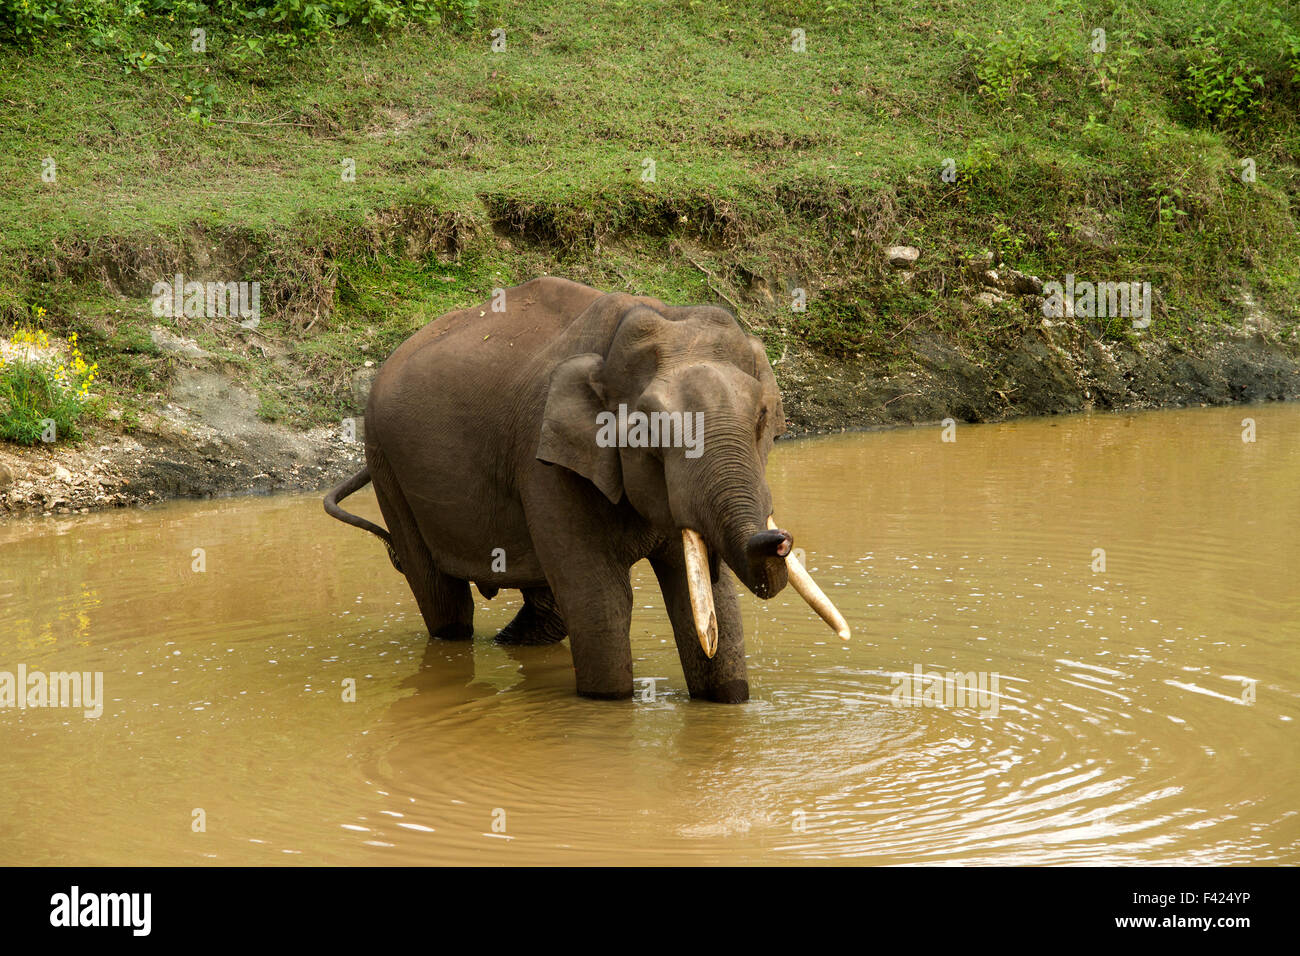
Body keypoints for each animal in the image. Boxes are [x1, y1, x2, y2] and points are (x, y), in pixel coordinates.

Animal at [325, 277, 848, 702]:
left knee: (544, 608)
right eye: (648, 430)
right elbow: (601, 600)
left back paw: (509, 642)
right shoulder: (545, 462)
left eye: (762, 419)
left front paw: (726, 702)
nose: (780, 541)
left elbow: (705, 598)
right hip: (386, 463)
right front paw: (609, 704)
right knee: (443, 600)